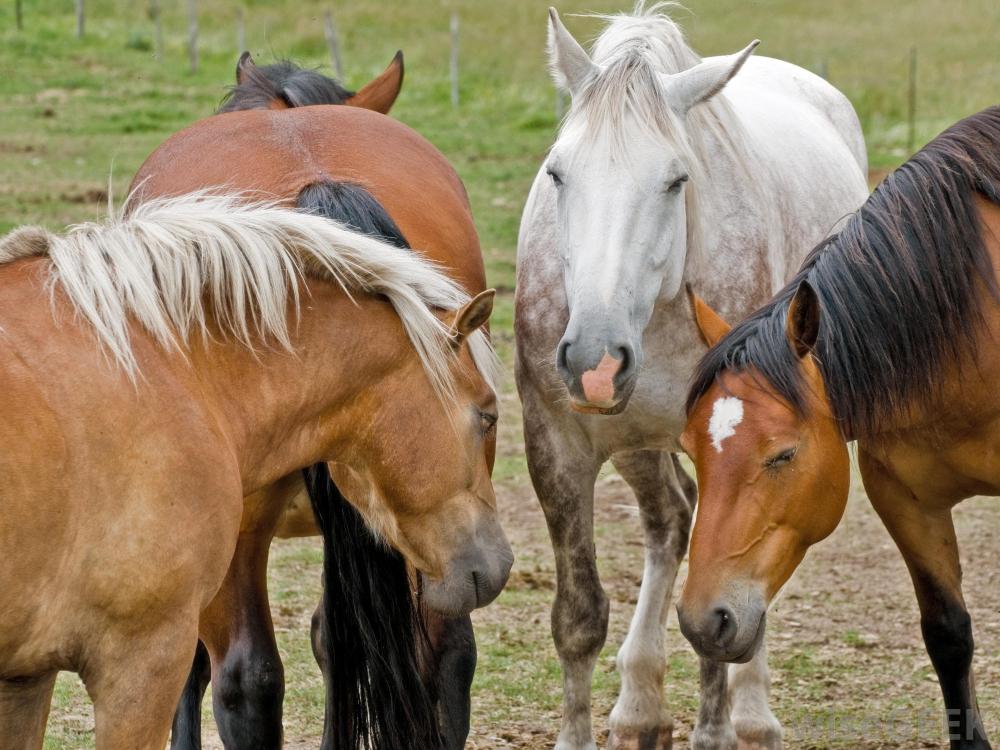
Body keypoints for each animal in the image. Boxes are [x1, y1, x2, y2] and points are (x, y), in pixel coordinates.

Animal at [516, 5, 868, 750]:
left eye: (676, 180)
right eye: (557, 173)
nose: (594, 360)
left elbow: (723, 616)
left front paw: (723, 727)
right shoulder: (559, 445)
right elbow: (579, 617)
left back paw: (741, 715)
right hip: (637, 442)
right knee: (670, 522)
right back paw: (640, 705)